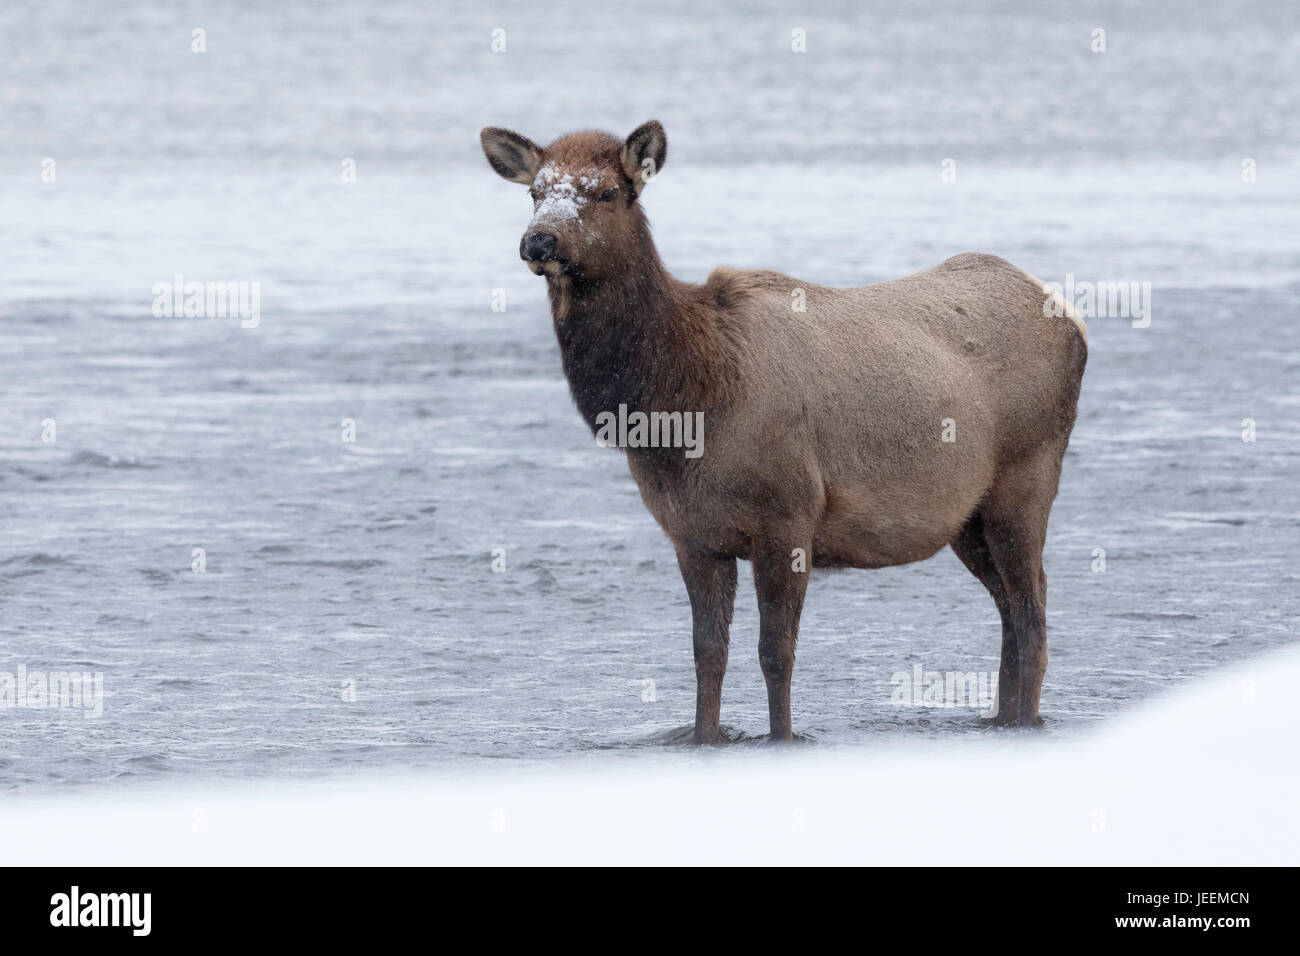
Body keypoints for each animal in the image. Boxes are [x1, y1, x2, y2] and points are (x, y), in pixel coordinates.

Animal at [480, 121, 1087, 743]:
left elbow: (776, 652)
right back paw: (1001, 716)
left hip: (1026, 477)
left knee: (1032, 609)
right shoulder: (692, 535)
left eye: (605, 192)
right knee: (1012, 609)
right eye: (535, 193)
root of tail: (1072, 318)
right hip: (967, 517)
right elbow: (707, 654)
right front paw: (705, 735)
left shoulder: (790, 517)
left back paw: (1025, 720)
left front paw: (782, 735)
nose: (539, 242)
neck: (684, 405)